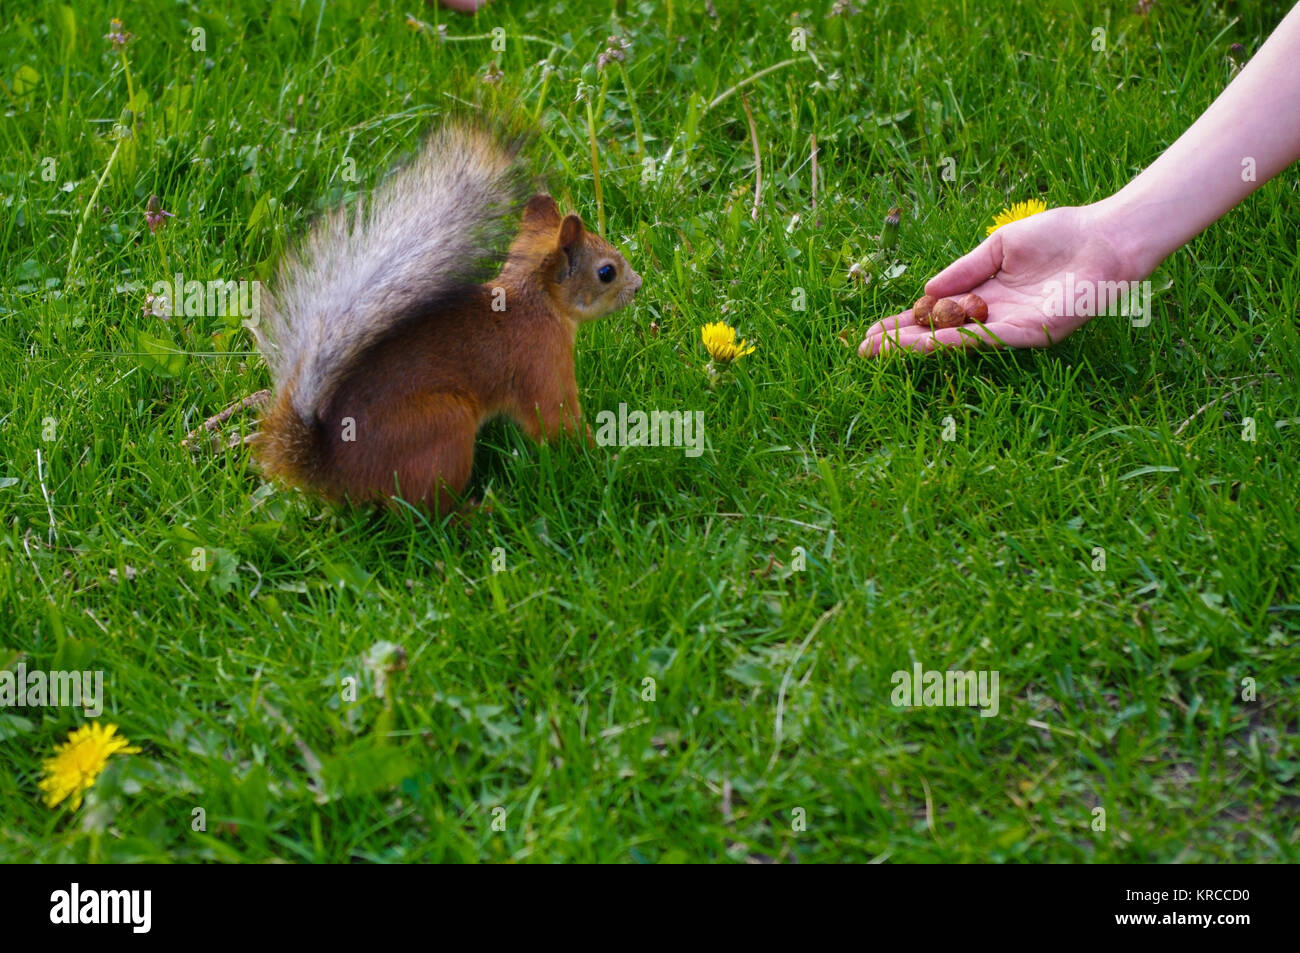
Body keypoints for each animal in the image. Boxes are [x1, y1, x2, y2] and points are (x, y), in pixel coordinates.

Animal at [253, 124, 641, 514]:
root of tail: (334, 471)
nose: (638, 286)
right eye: (606, 272)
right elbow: (555, 420)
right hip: (442, 426)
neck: (535, 299)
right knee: (430, 511)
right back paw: (478, 512)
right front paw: (603, 457)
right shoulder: (542, 361)